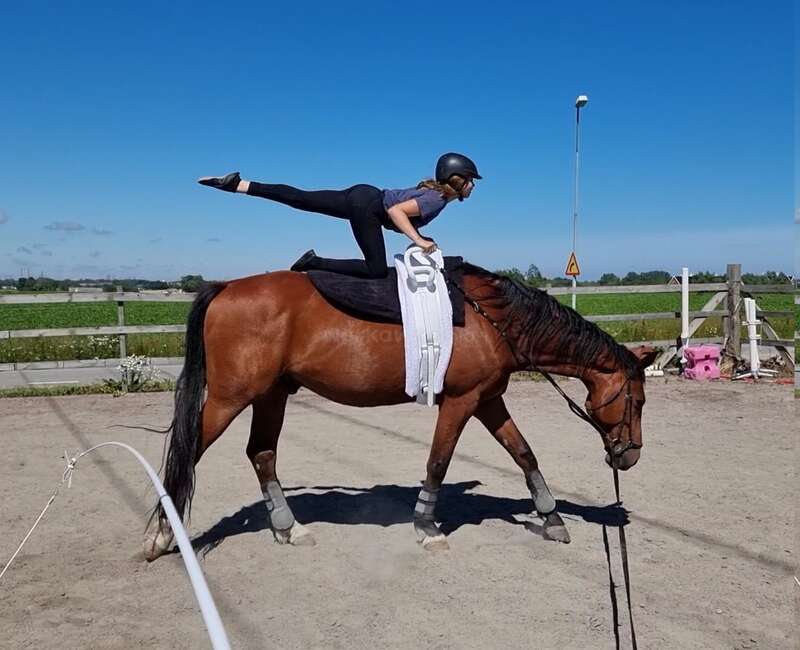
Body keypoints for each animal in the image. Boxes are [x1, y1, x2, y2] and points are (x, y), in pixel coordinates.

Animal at [144, 262, 657, 560]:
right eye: (639, 400)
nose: (631, 455)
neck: (491, 319)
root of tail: (226, 286)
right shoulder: (461, 401)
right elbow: (438, 461)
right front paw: (427, 526)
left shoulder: (489, 400)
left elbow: (525, 454)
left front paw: (551, 519)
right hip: (229, 399)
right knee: (187, 456)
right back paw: (162, 537)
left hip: (272, 395)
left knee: (261, 455)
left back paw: (288, 528)